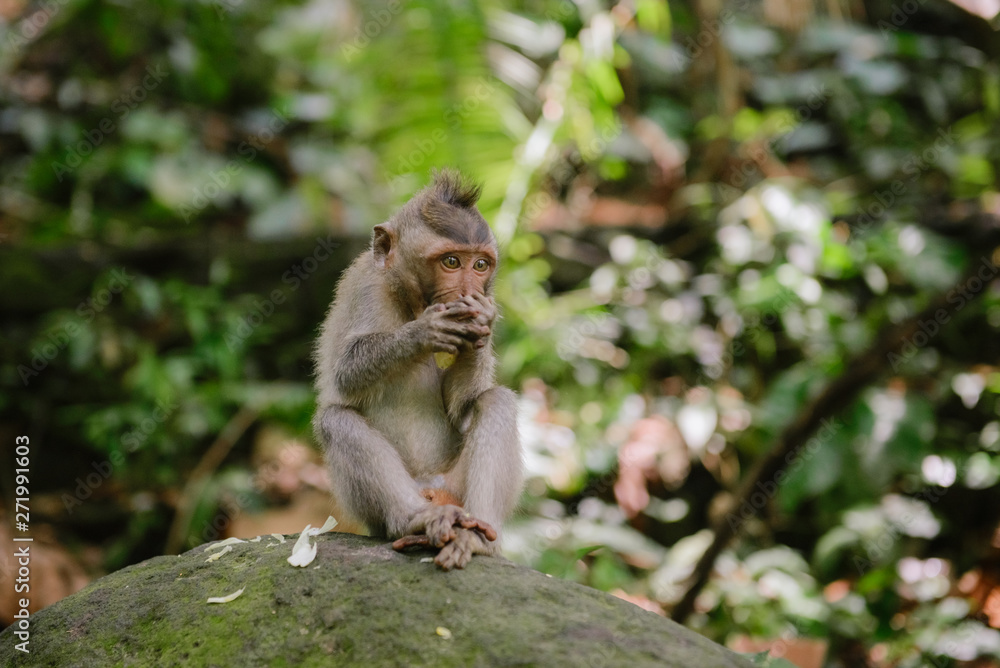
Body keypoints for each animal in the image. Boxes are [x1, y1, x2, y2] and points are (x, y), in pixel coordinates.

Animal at [312, 170, 523, 570]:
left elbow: (460, 404)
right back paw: (417, 520)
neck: (410, 301)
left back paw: (476, 537)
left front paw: (480, 325)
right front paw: (425, 331)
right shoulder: (369, 287)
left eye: (481, 265)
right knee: (335, 420)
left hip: (456, 487)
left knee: (497, 401)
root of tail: (432, 489)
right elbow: (346, 371)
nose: (468, 292)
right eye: (452, 262)